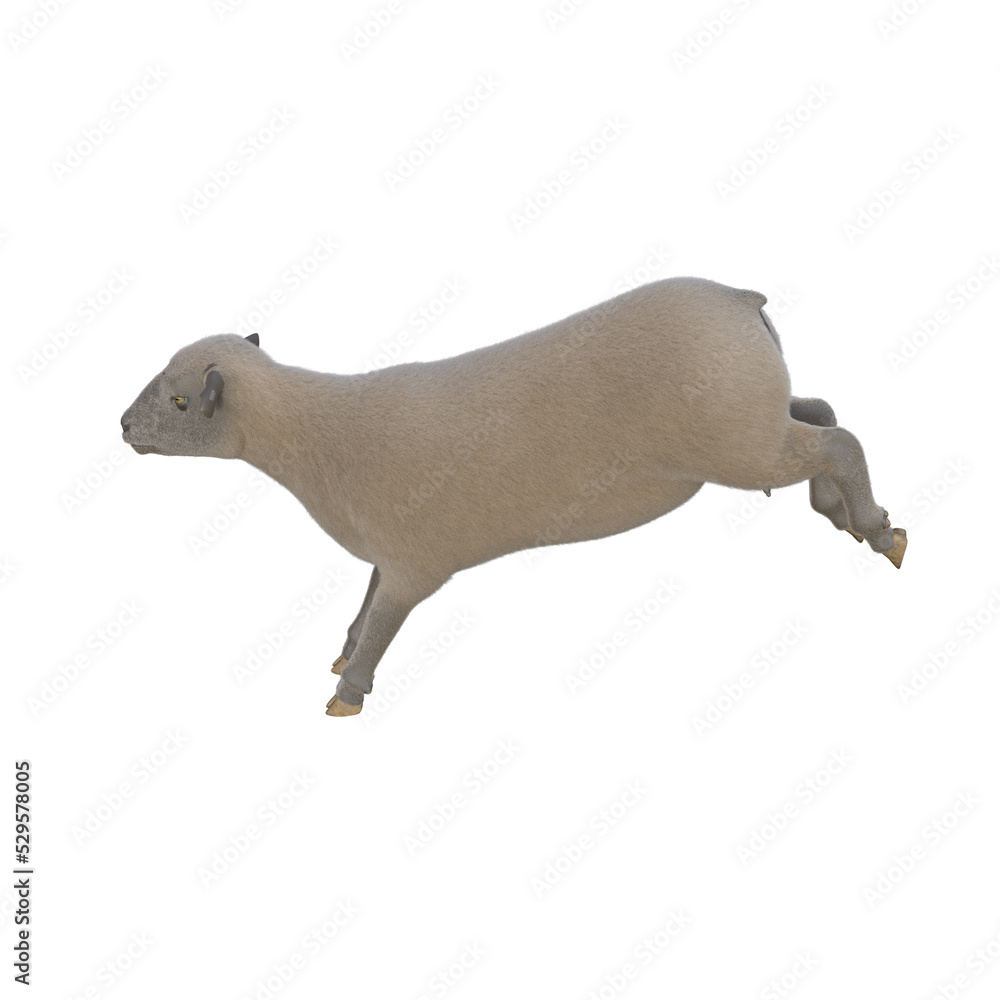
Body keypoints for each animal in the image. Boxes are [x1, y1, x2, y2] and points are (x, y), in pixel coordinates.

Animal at [120, 276, 907, 716]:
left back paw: (879, 529)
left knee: (841, 440)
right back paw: (837, 511)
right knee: (824, 411)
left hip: (736, 441)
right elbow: (365, 606)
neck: (321, 434)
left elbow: (384, 620)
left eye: (182, 400)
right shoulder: (386, 552)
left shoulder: (414, 562)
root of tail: (742, 300)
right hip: (753, 422)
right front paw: (342, 657)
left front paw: (348, 693)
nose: (124, 426)